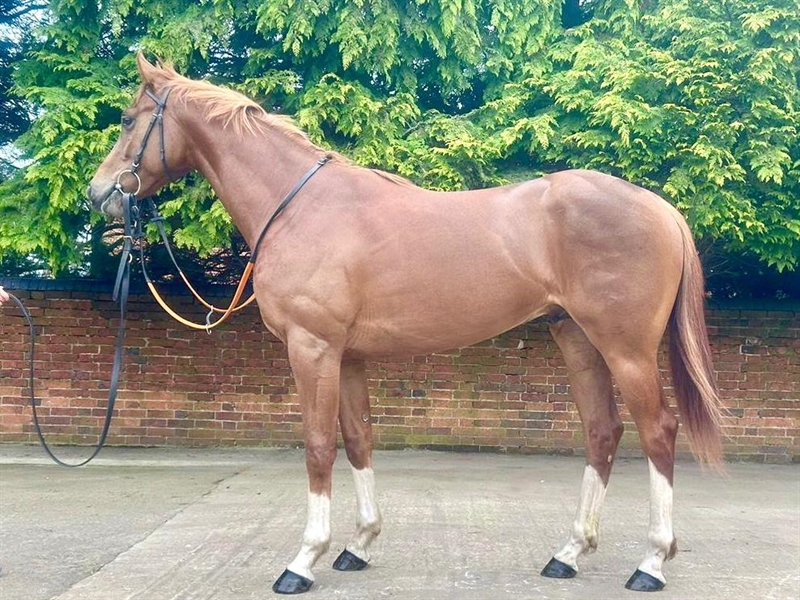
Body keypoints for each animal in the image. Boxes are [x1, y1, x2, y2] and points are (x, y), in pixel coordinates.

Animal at [87, 53, 724, 595]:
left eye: (127, 119)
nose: (100, 195)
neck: (299, 207)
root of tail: (662, 208)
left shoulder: (312, 349)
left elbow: (318, 446)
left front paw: (304, 560)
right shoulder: (346, 357)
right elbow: (358, 439)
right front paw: (358, 545)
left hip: (626, 350)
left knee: (658, 431)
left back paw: (651, 563)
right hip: (578, 340)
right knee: (602, 432)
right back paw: (567, 554)